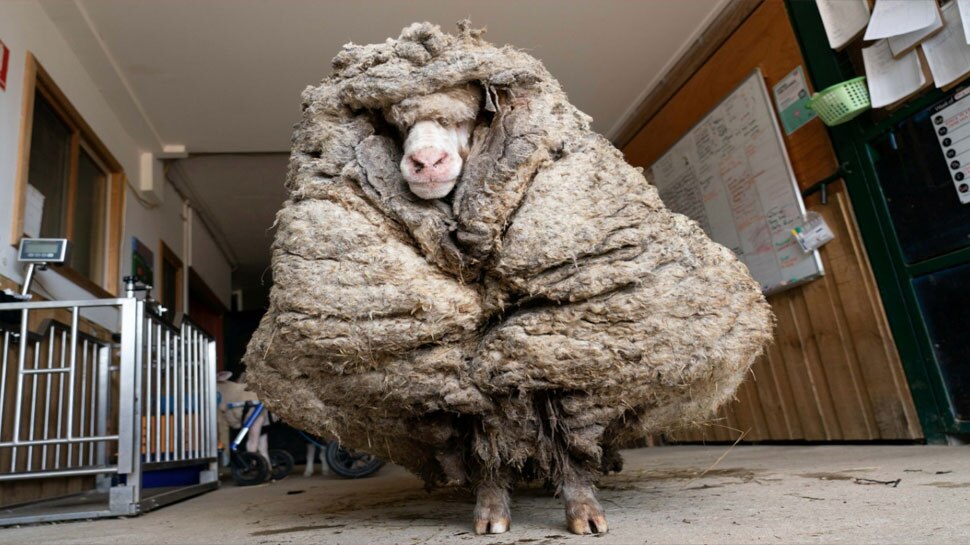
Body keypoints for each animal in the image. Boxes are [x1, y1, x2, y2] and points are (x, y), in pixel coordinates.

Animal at [244, 21, 774, 536]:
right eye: (395, 124)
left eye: (467, 116)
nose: (425, 163)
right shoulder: (454, 365)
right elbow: (482, 431)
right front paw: (491, 509)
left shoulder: (551, 338)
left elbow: (558, 417)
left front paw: (583, 508)